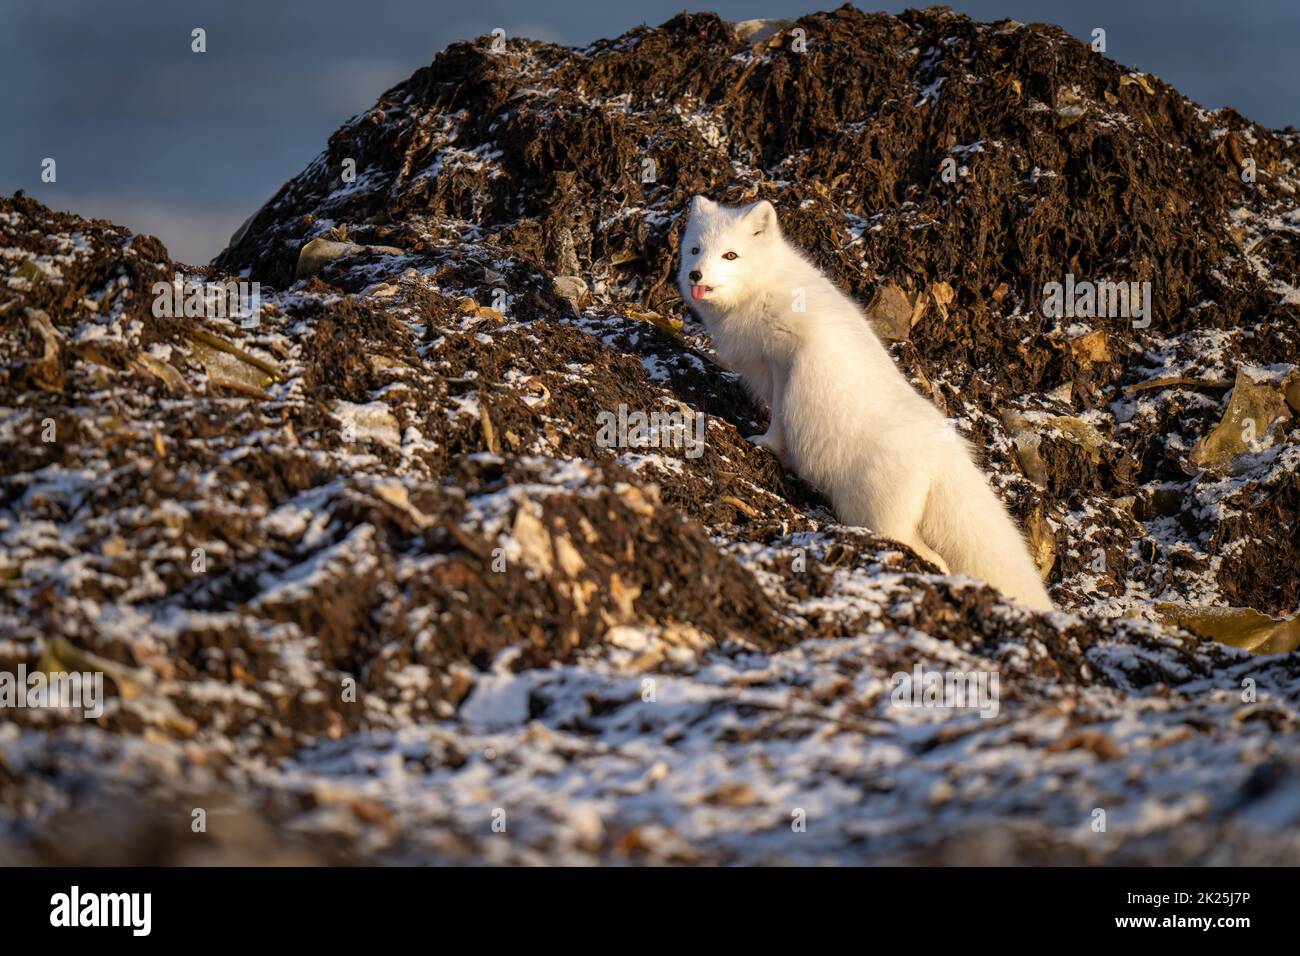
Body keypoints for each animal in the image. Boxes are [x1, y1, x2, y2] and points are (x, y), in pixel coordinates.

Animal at [678, 196, 1054, 612]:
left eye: (730, 255)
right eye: (695, 249)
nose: (695, 275)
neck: (762, 289)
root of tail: (944, 449)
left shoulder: (786, 363)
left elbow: (780, 415)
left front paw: (767, 444)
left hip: (875, 512)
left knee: (925, 552)